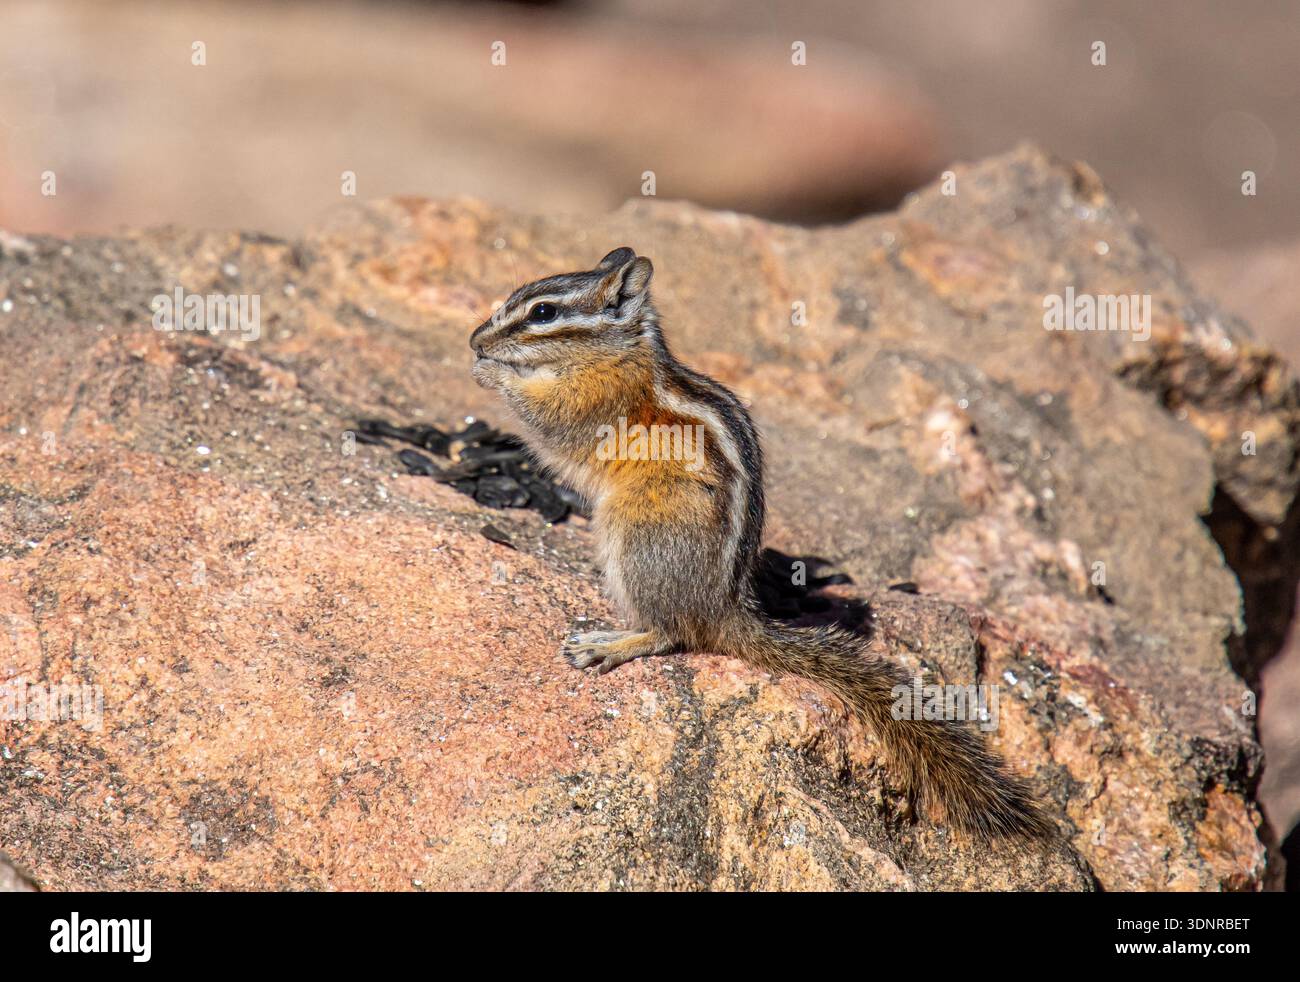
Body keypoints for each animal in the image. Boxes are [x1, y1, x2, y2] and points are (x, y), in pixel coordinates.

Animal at [470, 247, 1052, 840]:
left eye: (543, 312)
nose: (476, 340)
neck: (620, 351)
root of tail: (726, 612)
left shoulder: (596, 402)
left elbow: (551, 421)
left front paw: (492, 372)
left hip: (636, 539)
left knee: (673, 633)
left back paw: (609, 643)